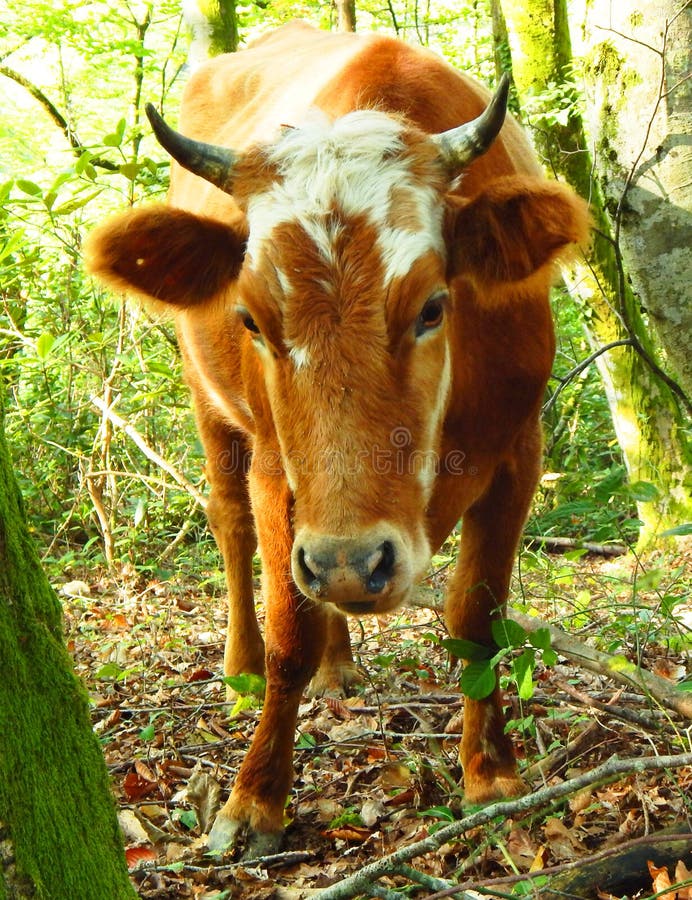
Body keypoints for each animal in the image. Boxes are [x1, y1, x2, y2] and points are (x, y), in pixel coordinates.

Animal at [86, 22, 588, 855]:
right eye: (252, 319)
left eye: (432, 306)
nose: (353, 560)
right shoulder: (276, 470)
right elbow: (290, 624)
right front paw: (256, 795)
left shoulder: (518, 450)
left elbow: (475, 618)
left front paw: (490, 773)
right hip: (212, 407)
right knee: (231, 528)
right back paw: (243, 670)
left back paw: (339, 664)